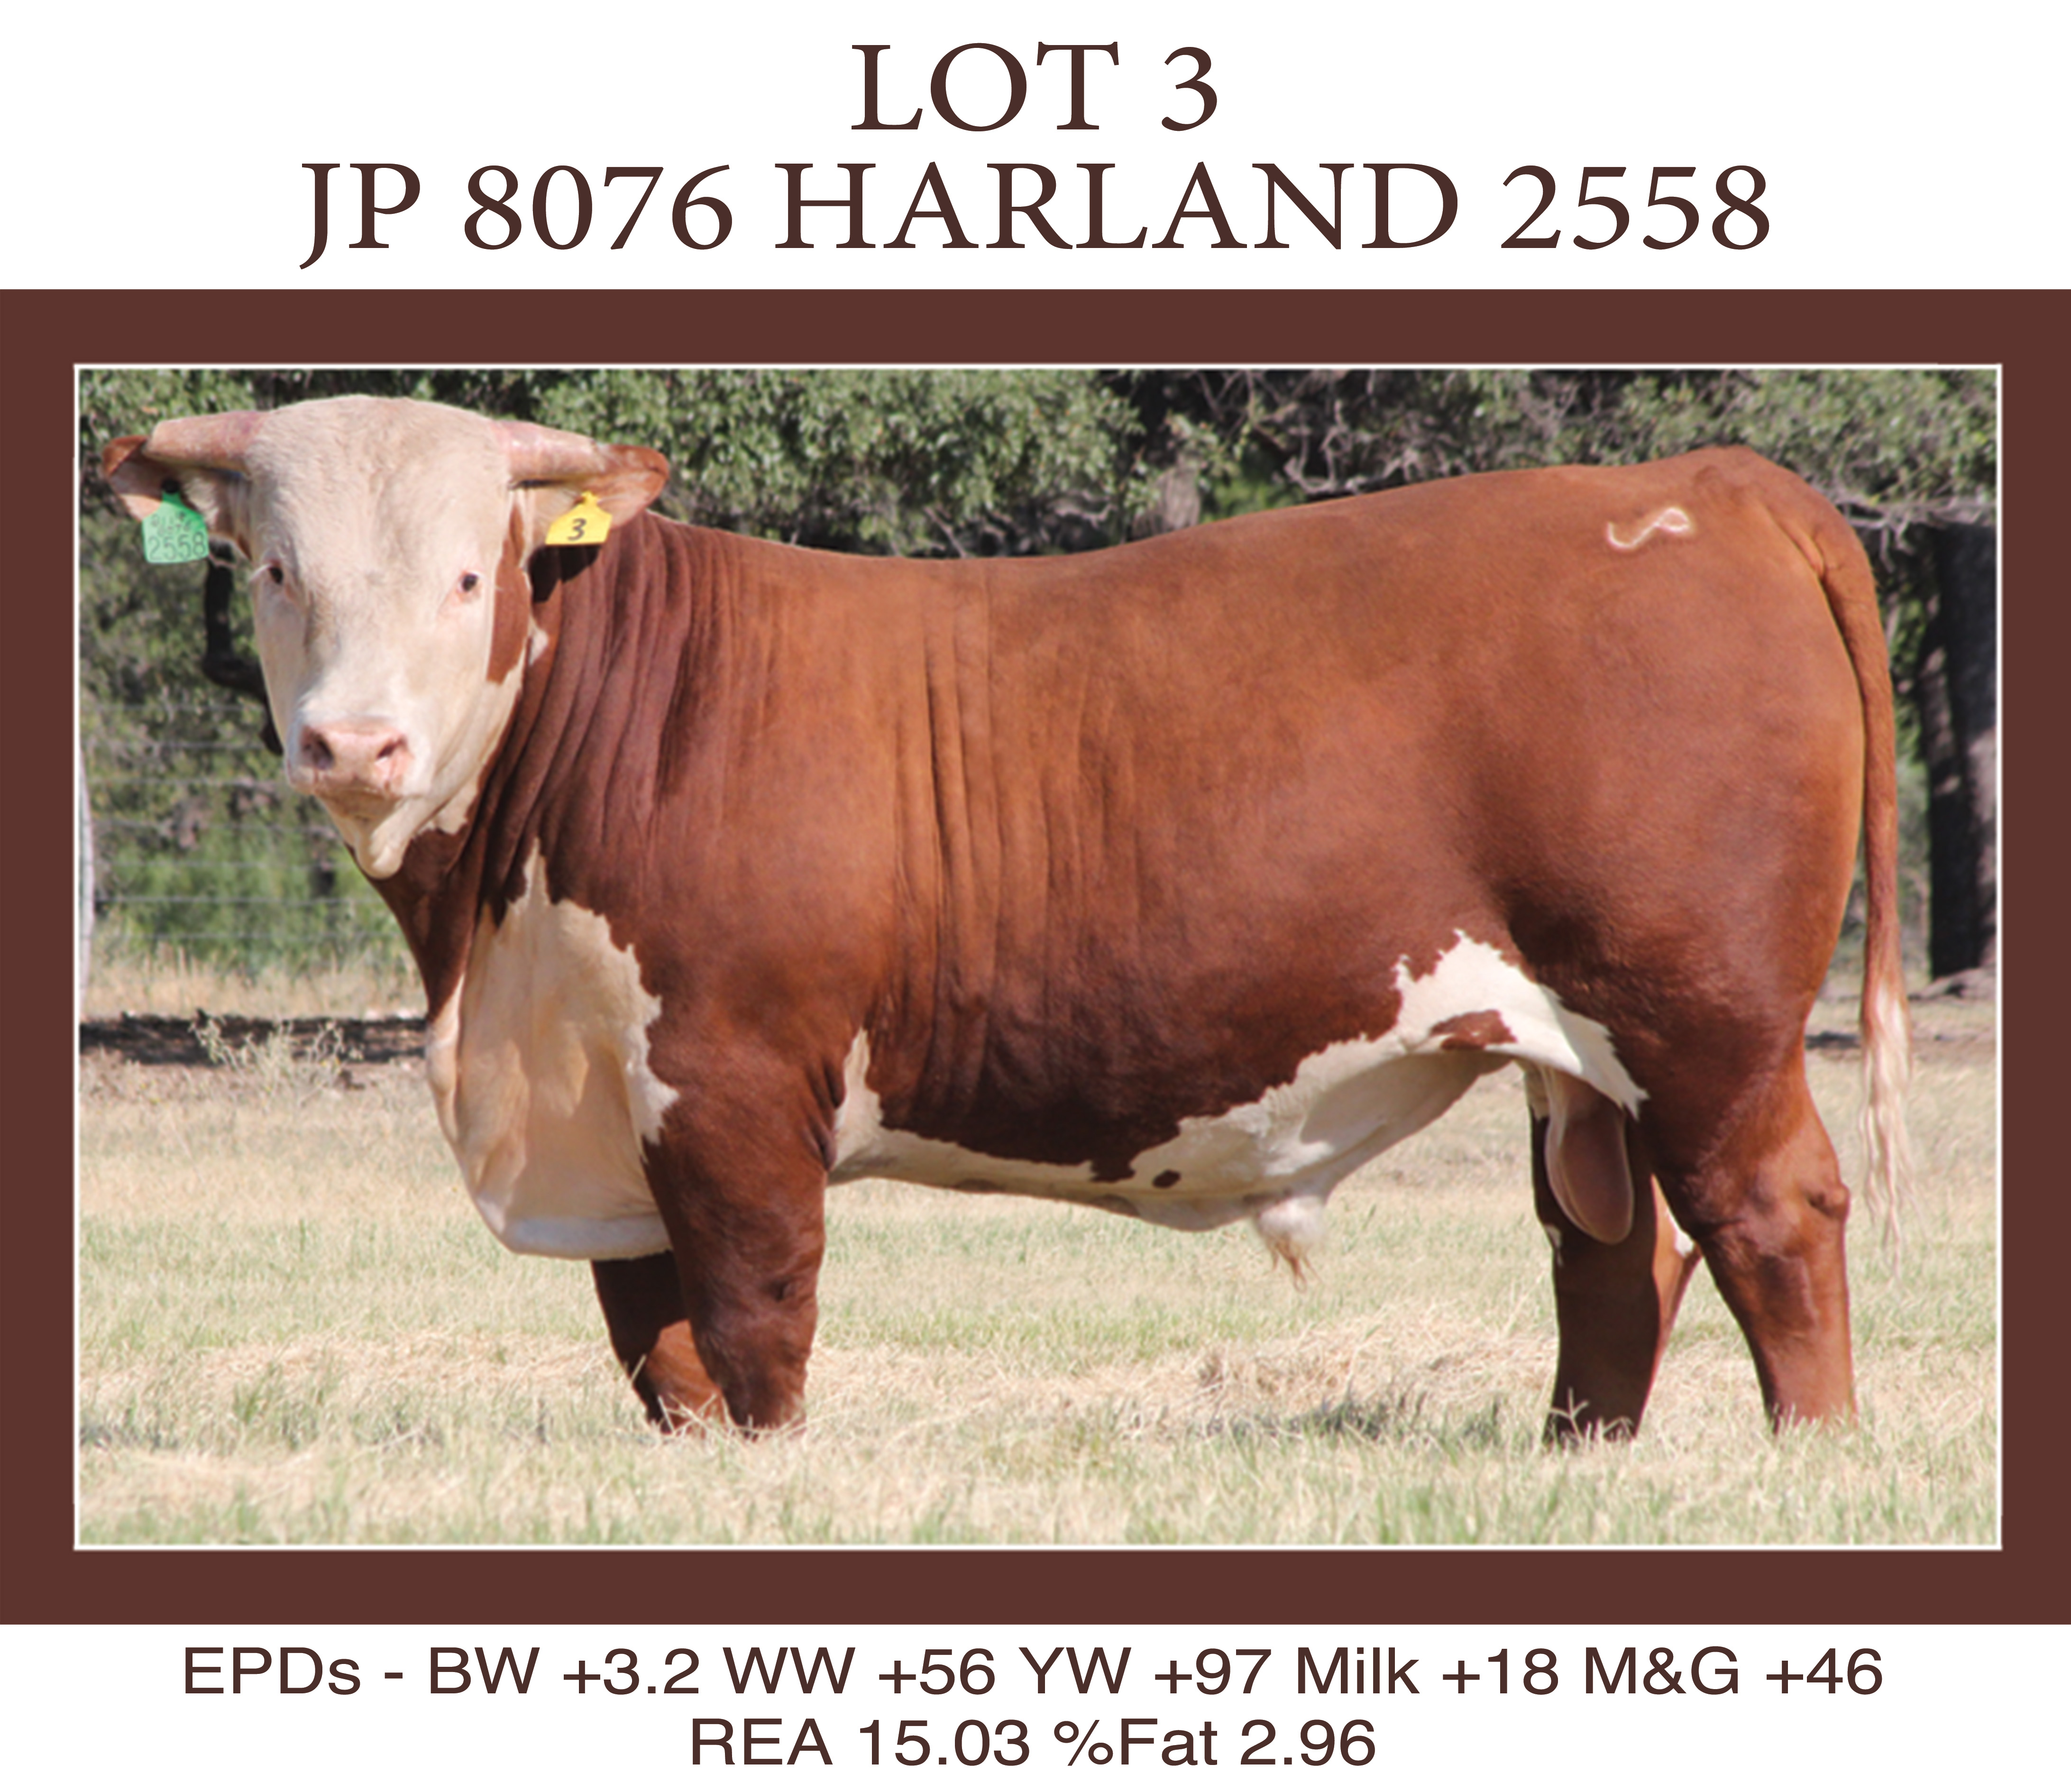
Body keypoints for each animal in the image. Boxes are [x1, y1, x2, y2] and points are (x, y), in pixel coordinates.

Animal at [104, 395, 1910, 1440]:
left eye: (469, 575)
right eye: (274, 568)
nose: (353, 744)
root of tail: (1705, 480)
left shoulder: (733, 1089)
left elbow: (754, 1331)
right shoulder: (613, 1111)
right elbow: (660, 1354)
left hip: (1700, 1013)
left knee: (1765, 1213)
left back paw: (1805, 1458)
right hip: (1577, 1051)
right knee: (1610, 1251)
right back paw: (1571, 1458)